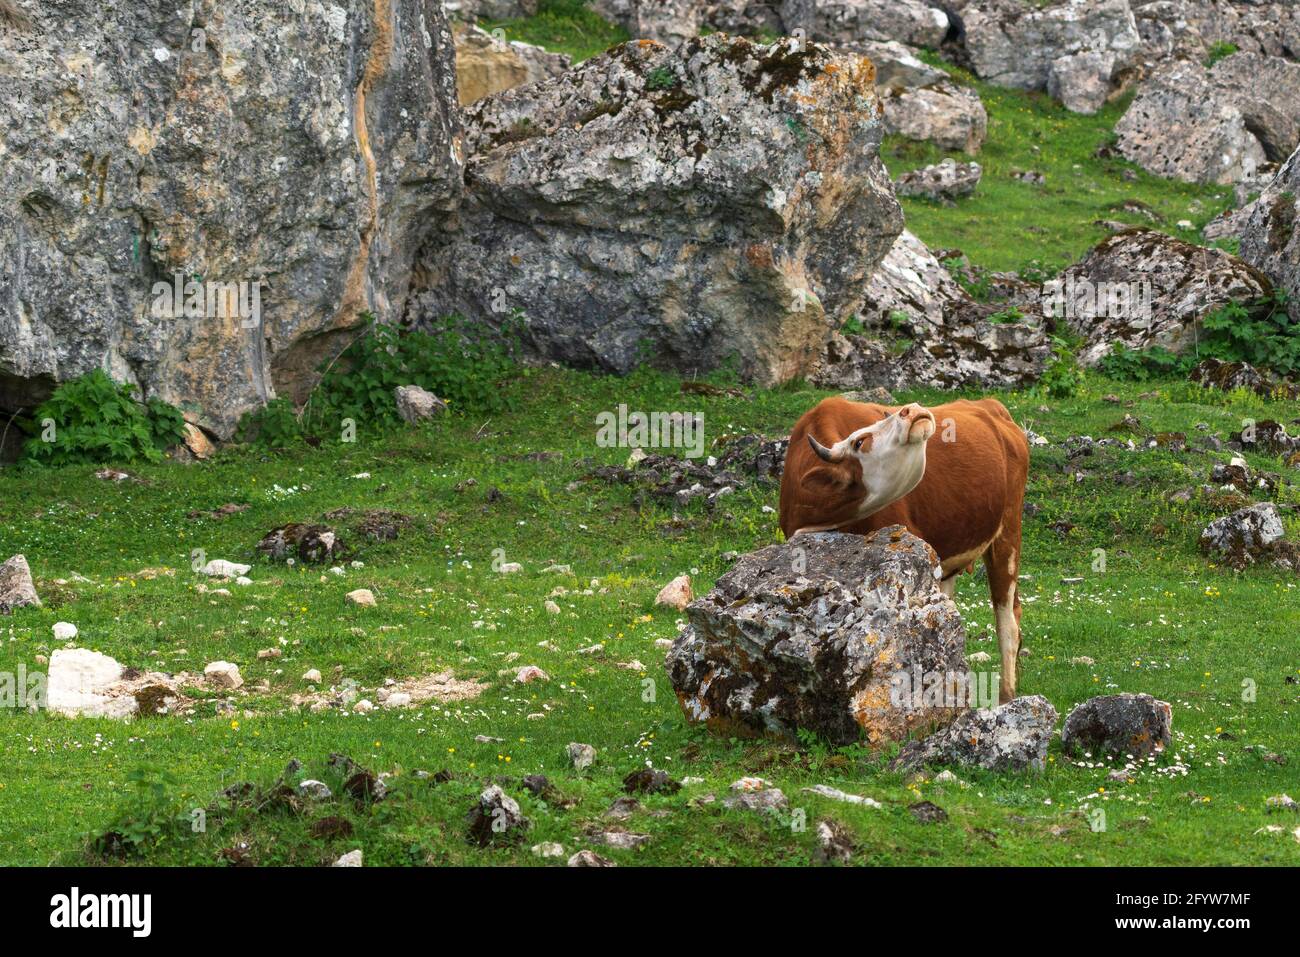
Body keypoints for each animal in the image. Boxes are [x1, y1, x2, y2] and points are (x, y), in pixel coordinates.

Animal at [779, 396, 1030, 703]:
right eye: (859, 441)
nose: (911, 408)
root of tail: (991, 405)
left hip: (1008, 531)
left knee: (1008, 622)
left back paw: (1006, 697)